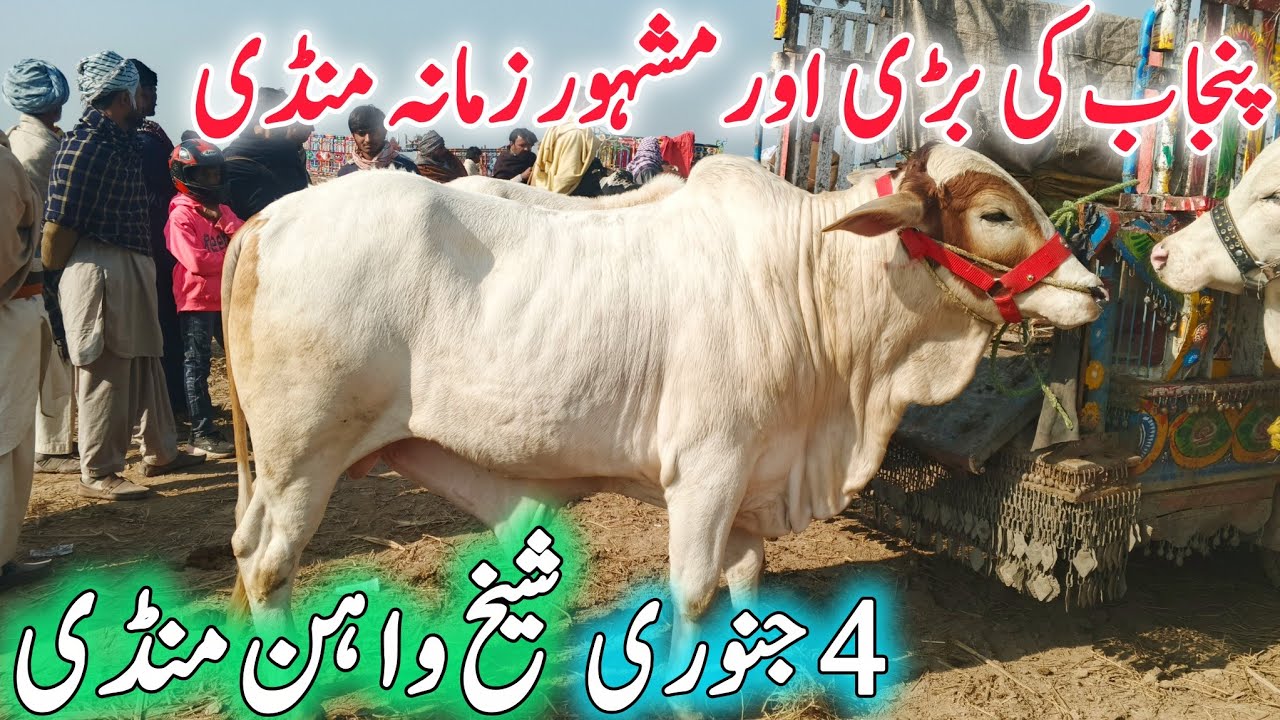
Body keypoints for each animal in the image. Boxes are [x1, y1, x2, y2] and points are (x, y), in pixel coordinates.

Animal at [221, 143, 1104, 648]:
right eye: (995, 213)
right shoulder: (706, 473)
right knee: (270, 567)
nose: (1093, 290)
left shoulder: (753, 482)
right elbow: (695, 592)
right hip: (304, 457)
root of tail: (271, 217)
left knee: (245, 548)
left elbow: (746, 583)